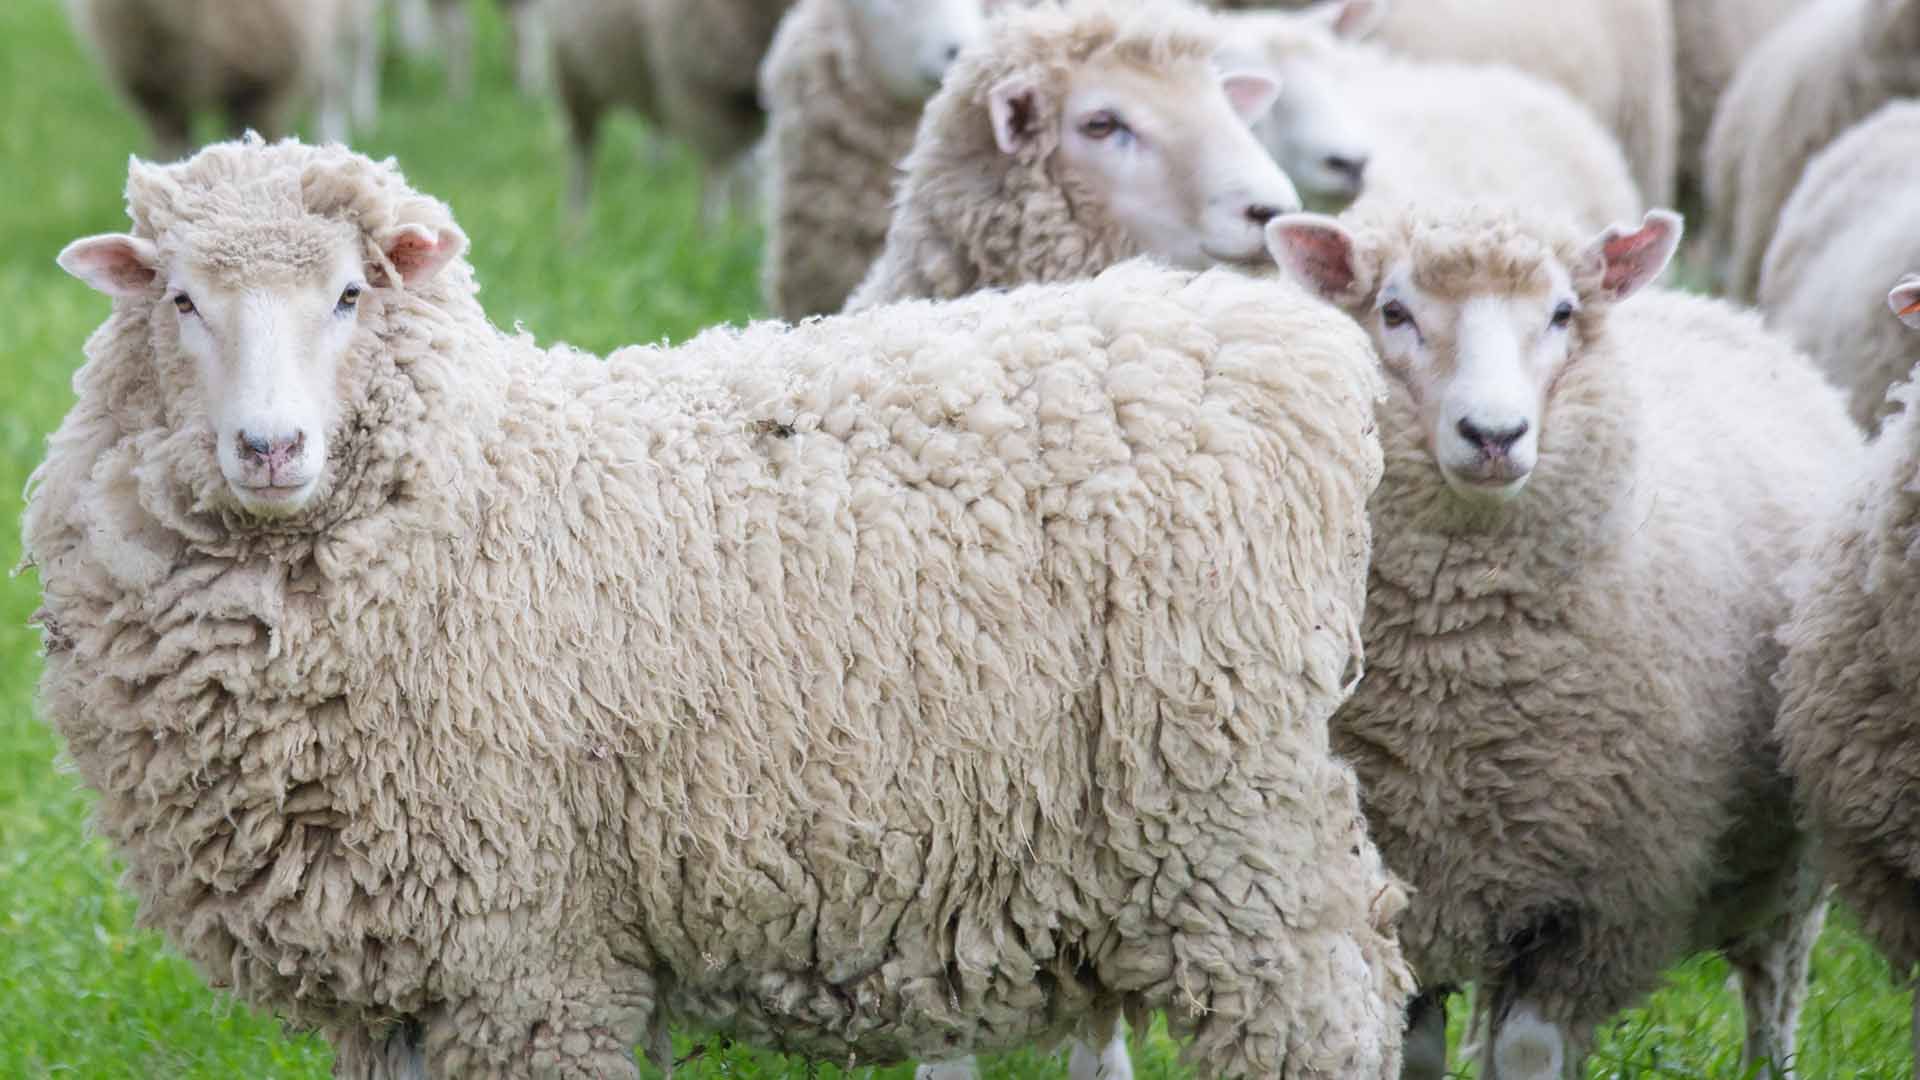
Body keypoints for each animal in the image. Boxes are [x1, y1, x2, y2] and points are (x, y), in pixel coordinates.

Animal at [31, 135, 1415, 1080]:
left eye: (350, 297)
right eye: (181, 300)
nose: (269, 448)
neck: (478, 477)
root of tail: (1278, 345)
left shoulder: (531, 952)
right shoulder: (398, 971)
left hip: (1234, 829)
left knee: (1329, 1018)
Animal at [551, 0, 797, 217]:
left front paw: (744, 226)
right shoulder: (706, 98)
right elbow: (715, 181)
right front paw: (712, 238)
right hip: (577, 74)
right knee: (582, 157)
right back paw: (577, 224)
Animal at [1264, 203, 1860, 1079]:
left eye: (1561, 313)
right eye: (1394, 312)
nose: (1494, 434)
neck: (1460, 676)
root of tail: (1719, 309)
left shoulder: (1593, 909)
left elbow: (1531, 1049)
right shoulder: (1403, 884)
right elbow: (1417, 1050)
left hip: (1790, 868)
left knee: (1773, 989)